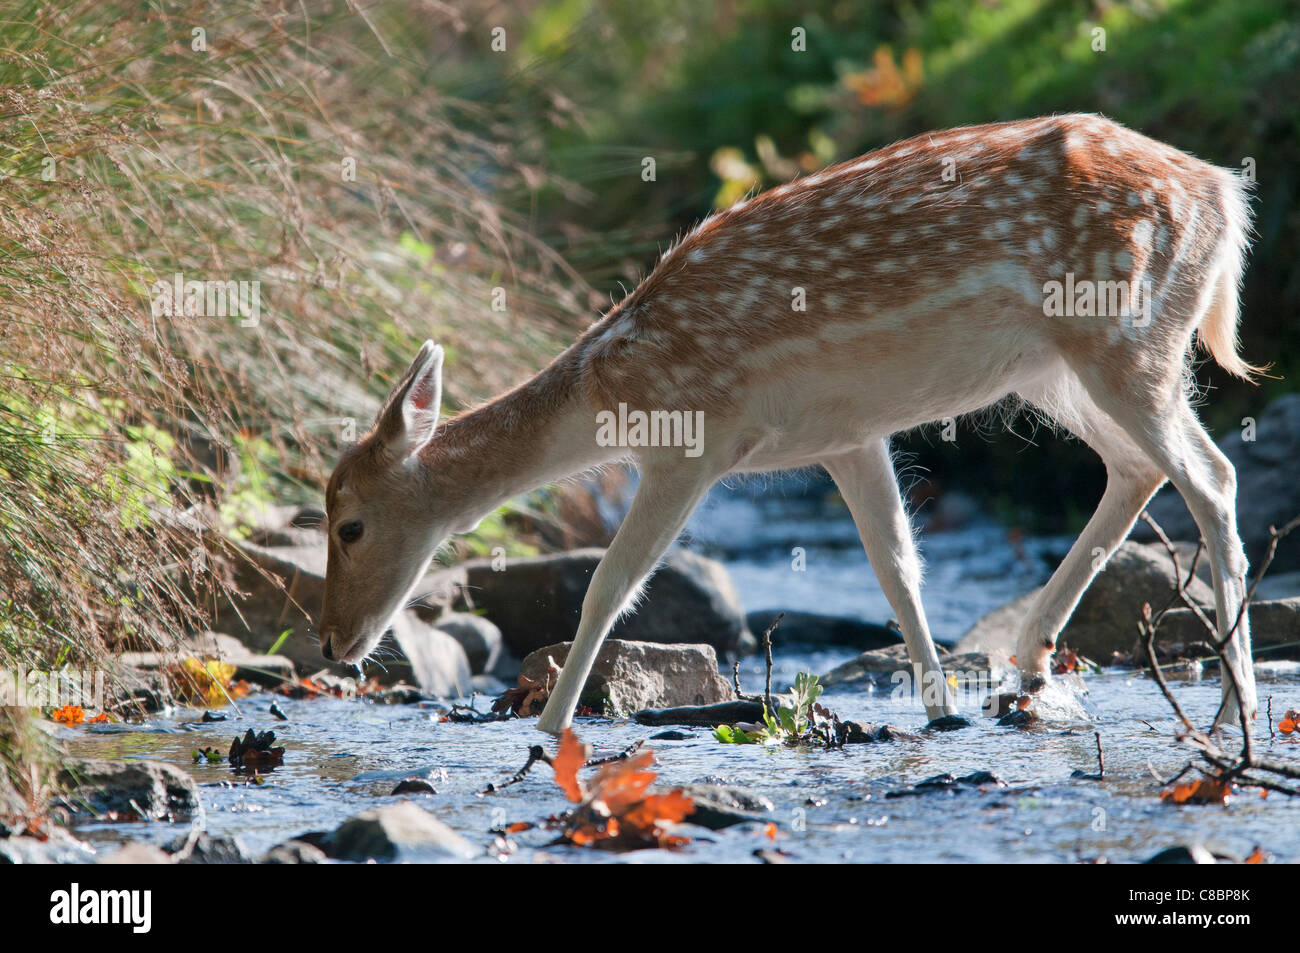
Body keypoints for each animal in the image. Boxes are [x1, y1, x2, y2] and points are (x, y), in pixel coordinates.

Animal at [319, 113, 1260, 737]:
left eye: (350, 523)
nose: (331, 642)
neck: (609, 386)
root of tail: (1227, 193)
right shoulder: (849, 436)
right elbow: (896, 567)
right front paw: (937, 707)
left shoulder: (693, 439)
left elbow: (609, 586)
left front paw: (548, 726)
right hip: (1055, 369)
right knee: (1139, 469)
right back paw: (1031, 658)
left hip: (1126, 337)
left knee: (1212, 475)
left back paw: (1232, 707)